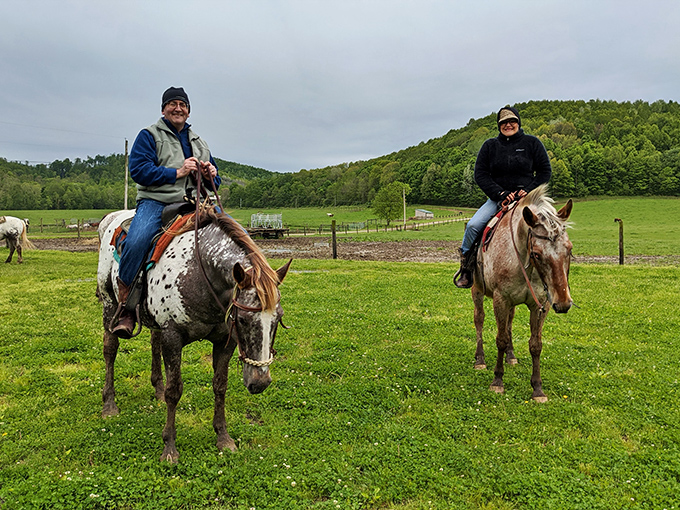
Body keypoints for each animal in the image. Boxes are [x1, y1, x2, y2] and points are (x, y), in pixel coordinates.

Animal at [96, 204, 291, 462]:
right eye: (242, 318)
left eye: (278, 318)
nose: (259, 383)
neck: (199, 273)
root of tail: (110, 218)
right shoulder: (173, 336)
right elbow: (174, 390)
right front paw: (169, 447)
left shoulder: (224, 342)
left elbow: (220, 385)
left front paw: (223, 437)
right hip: (110, 306)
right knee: (110, 350)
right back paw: (109, 404)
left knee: (153, 343)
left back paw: (157, 389)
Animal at [470, 184, 573, 402]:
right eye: (537, 254)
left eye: (569, 249)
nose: (563, 303)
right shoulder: (500, 299)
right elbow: (500, 339)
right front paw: (497, 381)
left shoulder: (540, 305)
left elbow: (535, 344)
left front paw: (538, 389)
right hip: (477, 291)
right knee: (479, 319)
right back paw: (480, 358)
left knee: (509, 322)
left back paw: (511, 356)